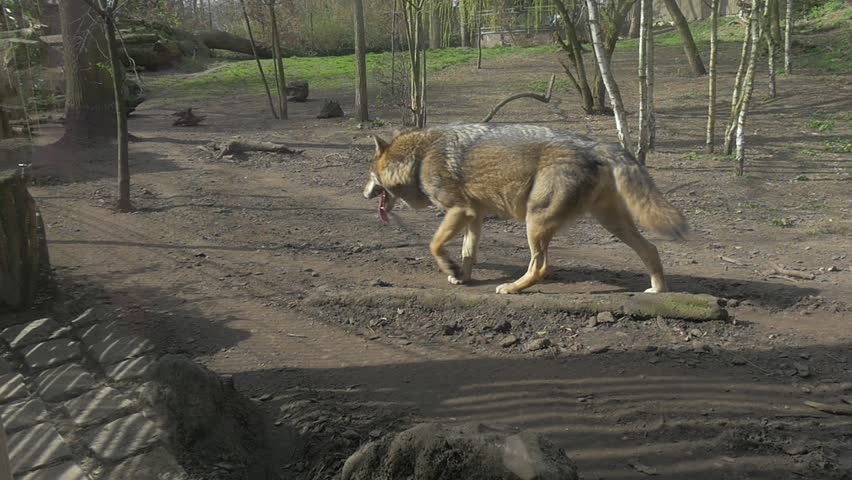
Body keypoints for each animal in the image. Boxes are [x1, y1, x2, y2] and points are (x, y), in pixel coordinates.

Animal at [362, 124, 688, 294]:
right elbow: (468, 252)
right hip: (612, 223)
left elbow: (434, 245)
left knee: (540, 266)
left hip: (535, 223)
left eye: (369, 175)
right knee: (650, 250)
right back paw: (658, 289)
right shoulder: (474, 215)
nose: (363, 193)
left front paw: (451, 268)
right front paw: (463, 277)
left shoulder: (458, 211)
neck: (419, 159)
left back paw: (512, 288)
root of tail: (595, 145)